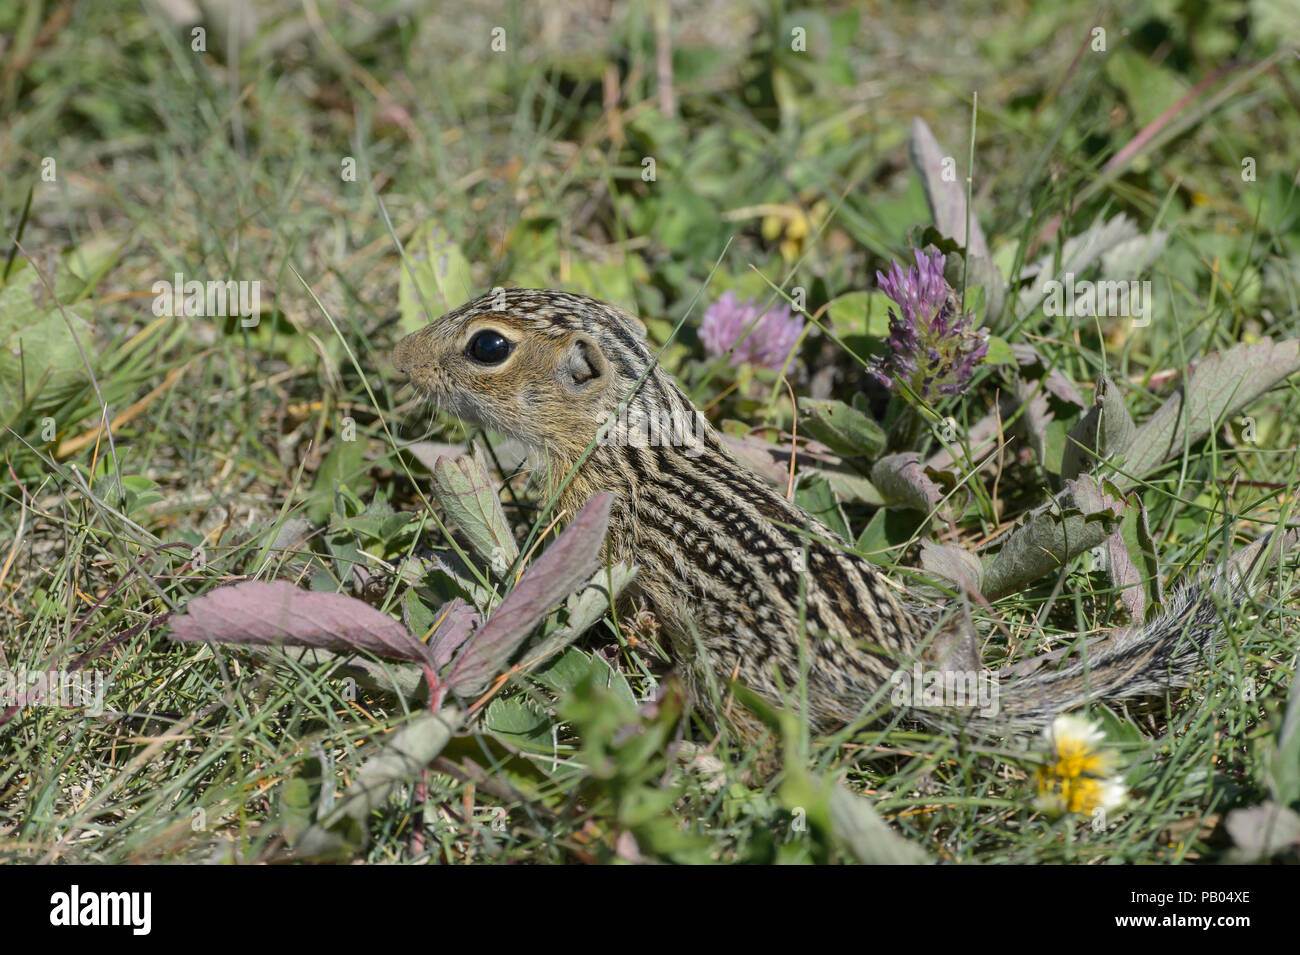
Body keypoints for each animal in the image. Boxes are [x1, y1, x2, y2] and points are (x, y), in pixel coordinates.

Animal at [394, 288, 1233, 738]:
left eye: (489, 346)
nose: (399, 354)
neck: (639, 436)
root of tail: (883, 671)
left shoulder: (604, 530)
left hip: (732, 673)